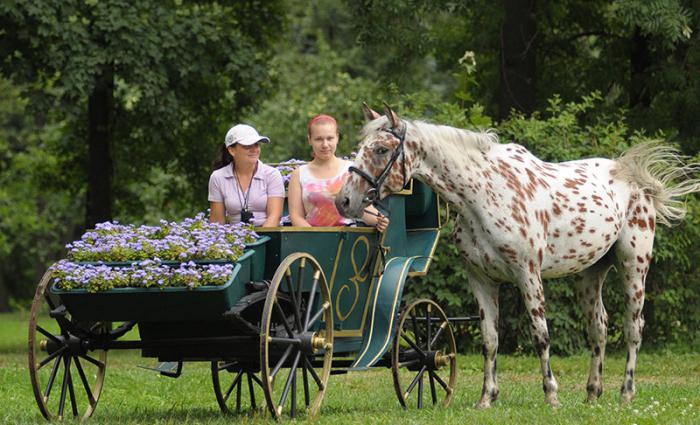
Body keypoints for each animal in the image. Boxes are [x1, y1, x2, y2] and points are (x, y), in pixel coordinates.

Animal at [334, 102, 700, 408]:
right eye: (359, 149)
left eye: (381, 149)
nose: (344, 201)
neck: (483, 193)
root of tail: (633, 177)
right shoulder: (481, 279)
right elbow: (490, 339)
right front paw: (486, 398)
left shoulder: (528, 274)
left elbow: (540, 335)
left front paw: (551, 396)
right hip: (589, 274)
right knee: (598, 326)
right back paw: (592, 394)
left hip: (633, 266)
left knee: (633, 328)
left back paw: (625, 394)